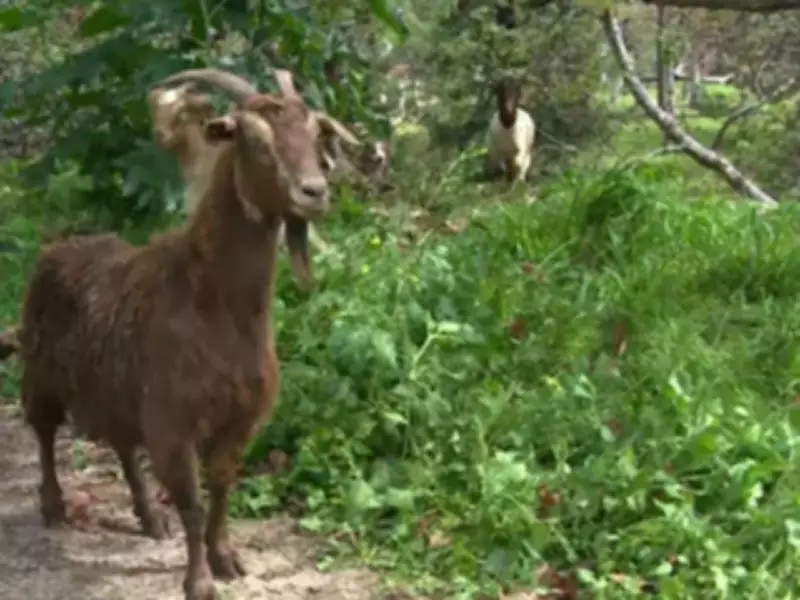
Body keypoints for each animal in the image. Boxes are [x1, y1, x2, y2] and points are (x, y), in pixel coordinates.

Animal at [19, 67, 357, 600]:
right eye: (253, 139)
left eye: (313, 135)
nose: (314, 192)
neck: (211, 301)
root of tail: (56, 249)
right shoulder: (174, 422)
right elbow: (193, 504)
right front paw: (198, 581)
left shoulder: (239, 419)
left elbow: (220, 490)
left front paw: (226, 559)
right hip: (42, 374)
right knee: (45, 433)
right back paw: (53, 506)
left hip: (118, 393)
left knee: (122, 445)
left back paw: (148, 516)